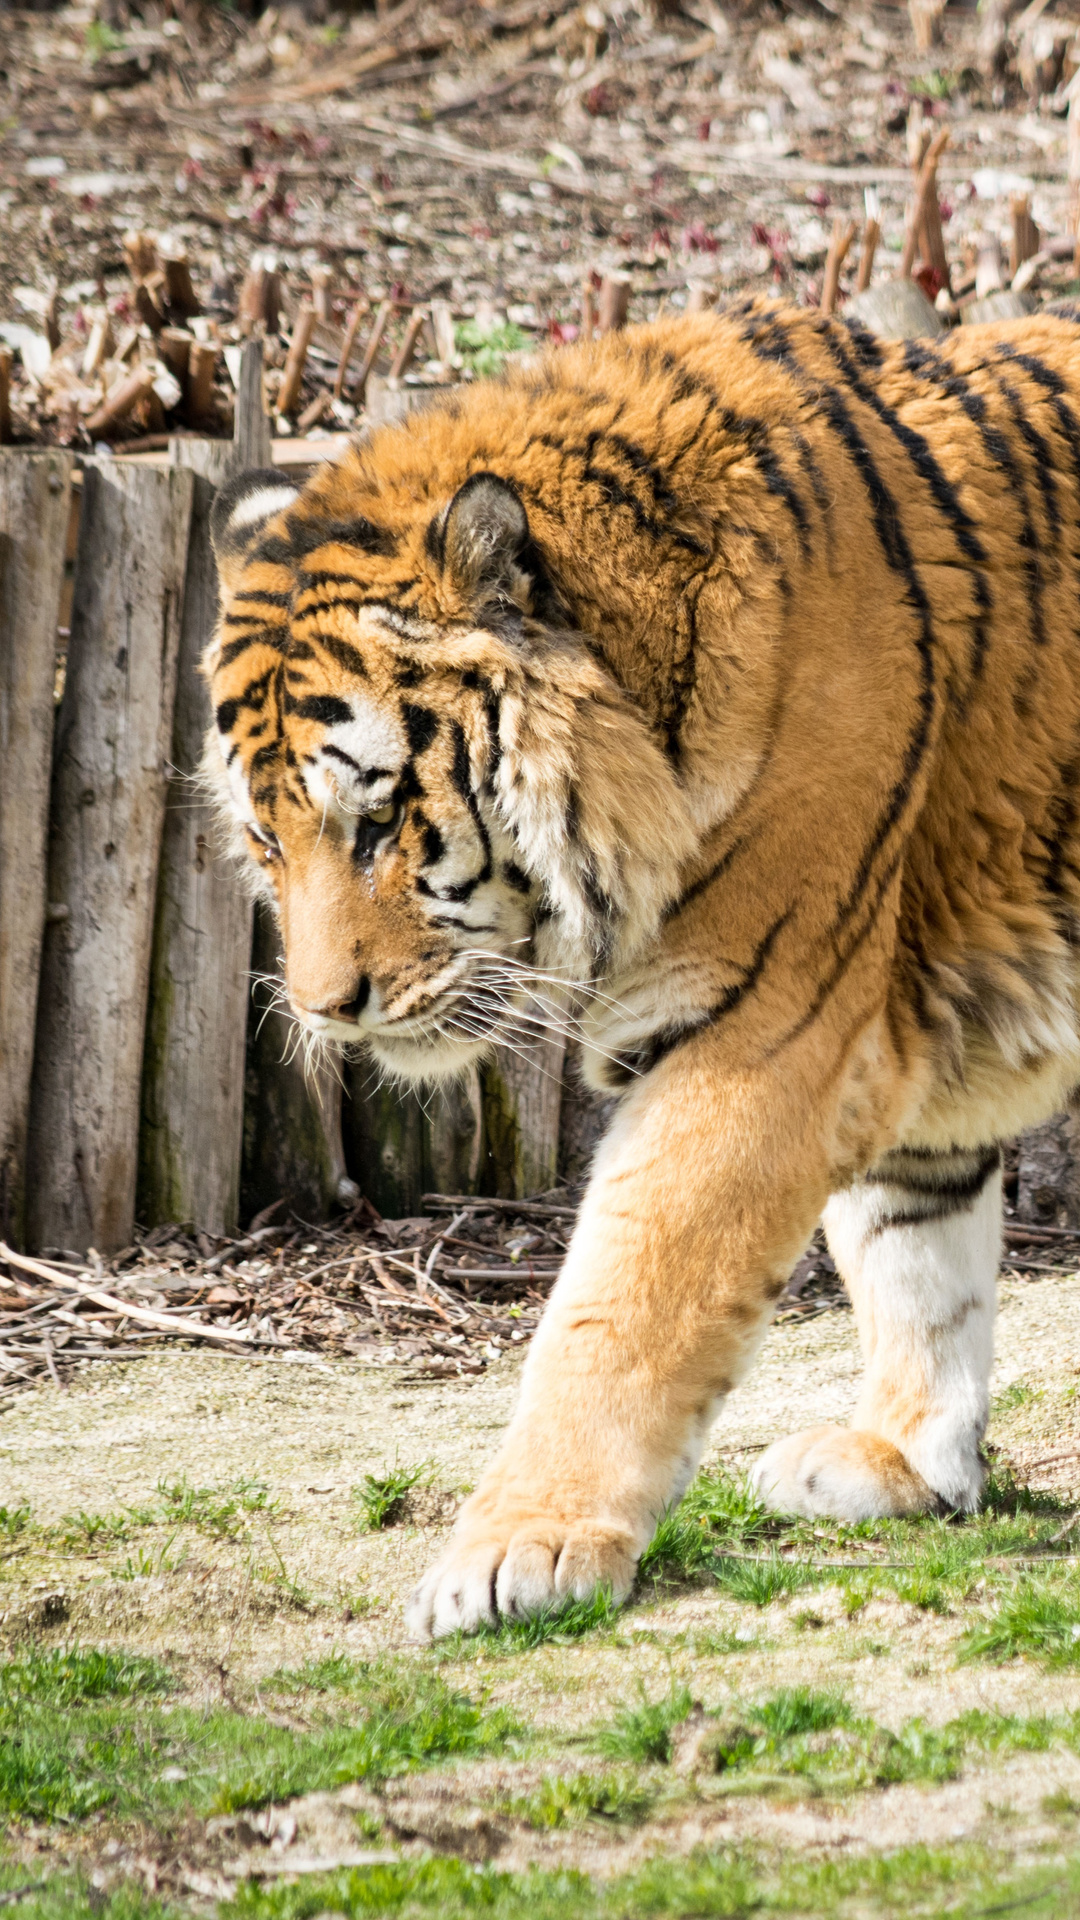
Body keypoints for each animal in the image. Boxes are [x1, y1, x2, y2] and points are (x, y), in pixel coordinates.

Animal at [205, 295, 1080, 1638]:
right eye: (263, 836)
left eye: (378, 821)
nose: (326, 1010)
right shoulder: (892, 1023)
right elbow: (917, 1255)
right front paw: (909, 1463)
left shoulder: (762, 1031)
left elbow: (624, 1307)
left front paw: (520, 1548)